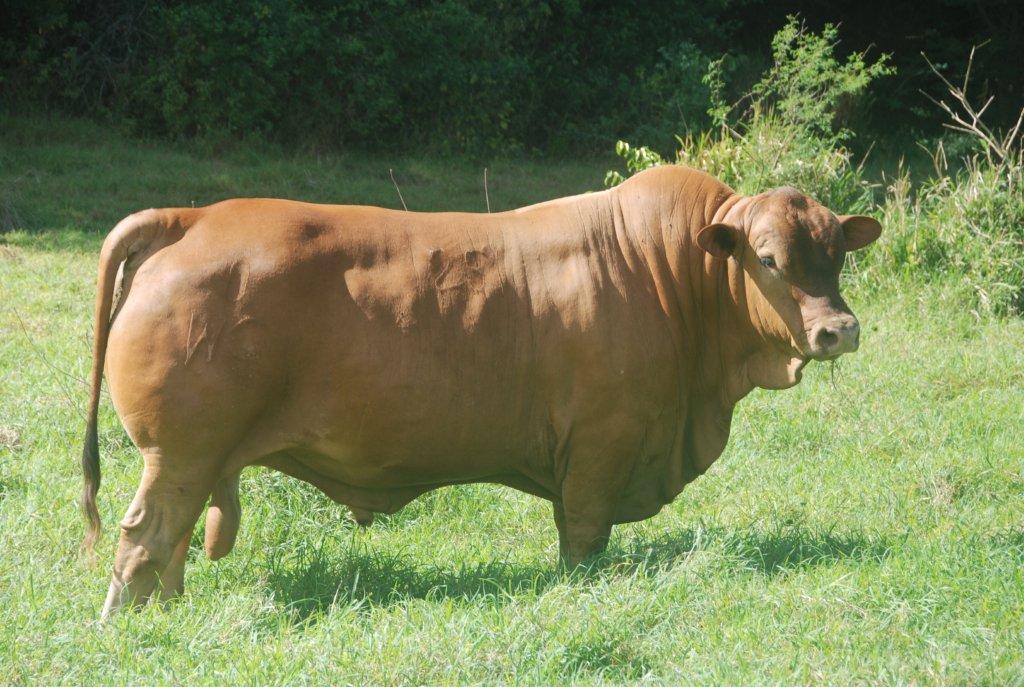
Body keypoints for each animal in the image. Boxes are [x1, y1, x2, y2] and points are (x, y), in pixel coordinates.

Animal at [80, 165, 881, 617]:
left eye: (836, 253)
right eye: (769, 259)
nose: (839, 330)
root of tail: (196, 216)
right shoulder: (601, 447)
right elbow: (583, 540)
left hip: (198, 459)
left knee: (173, 542)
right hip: (180, 454)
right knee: (145, 538)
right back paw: (130, 624)